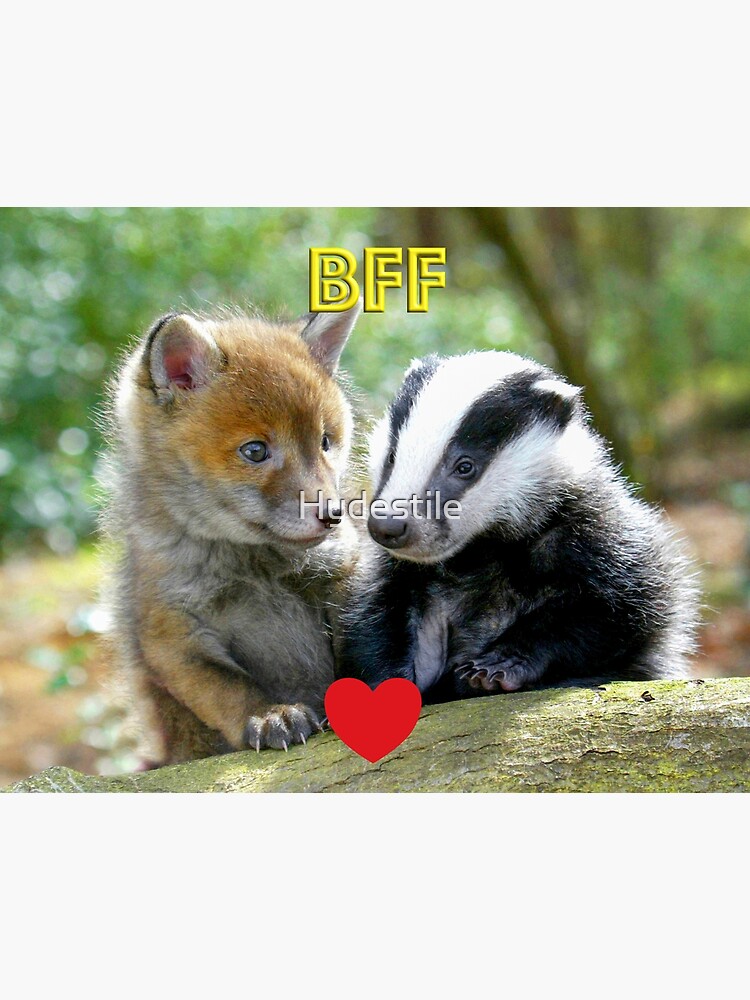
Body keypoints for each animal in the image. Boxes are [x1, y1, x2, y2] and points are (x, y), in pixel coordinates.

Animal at [103, 300, 362, 765]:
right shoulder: (173, 636)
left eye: (326, 442)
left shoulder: (342, 574)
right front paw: (272, 713)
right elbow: (228, 688)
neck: (252, 566)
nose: (333, 514)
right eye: (255, 451)